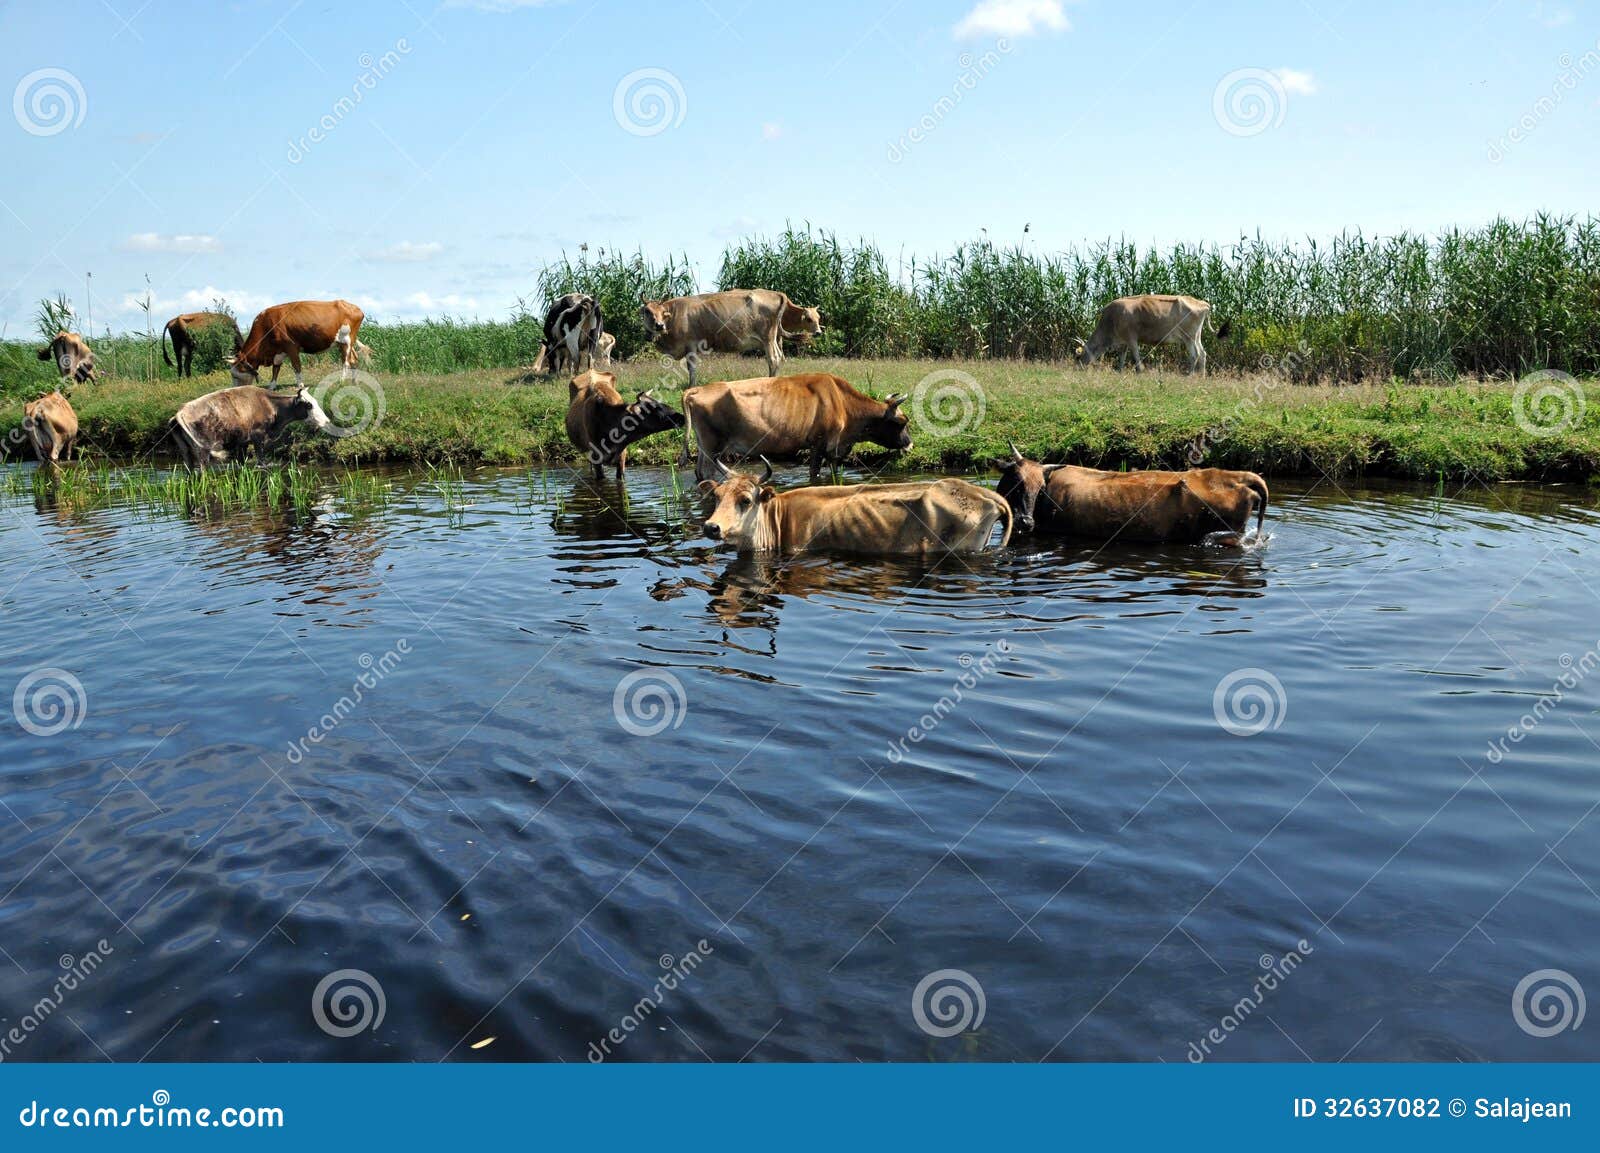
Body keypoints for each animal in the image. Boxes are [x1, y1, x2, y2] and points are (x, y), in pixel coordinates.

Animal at [168, 384, 332, 469]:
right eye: (309, 405)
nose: (327, 421)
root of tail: (181, 411)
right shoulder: (258, 437)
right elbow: (261, 461)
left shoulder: (242, 442)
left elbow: (241, 463)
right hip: (202, 450)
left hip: (185, 451)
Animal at [228, 300, 366, 389]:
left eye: (236, 375)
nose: (234, 389)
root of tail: (356, 308)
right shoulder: (279, 351)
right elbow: (276, 368)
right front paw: (271, 386)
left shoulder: (291, 346)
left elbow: (296, 366)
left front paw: (300, 385)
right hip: (343, 343)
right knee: (354, 360)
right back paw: (354, 382)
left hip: (346, 341)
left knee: (346, 362)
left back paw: (342, 381)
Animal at [639, 289, 823, 388]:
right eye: (647, 311)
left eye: (663, 313)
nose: (659, 325)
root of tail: (776, 293)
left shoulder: (691, 344)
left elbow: (691, 367)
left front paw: (691, 385)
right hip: (772, 338)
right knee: (779, 357)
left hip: (768, 338)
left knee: (773, 359)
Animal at [681, 373, 911, 483]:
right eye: (902, 422)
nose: (910, 445)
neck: (841, 401)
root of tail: (698, 389)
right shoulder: (819, 443)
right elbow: (814, 473)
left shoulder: (834, 449)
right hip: (713, 446)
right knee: (708, 473)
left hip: (703, 446)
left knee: (699, 473)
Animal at [1074, 294, 1228, 375]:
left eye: (1079, 356)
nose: (1078, 368)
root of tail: (1203, 303)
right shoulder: (1123, 342)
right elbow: (1122, 358)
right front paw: (1119, 371)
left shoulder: (1131, 338)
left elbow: (1136, 355)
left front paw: (1139, 371)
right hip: (1196, 337)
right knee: (1202, 354)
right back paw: (1201, 376)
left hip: (1188, 337)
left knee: (1195, 355)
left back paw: (1189, 375)